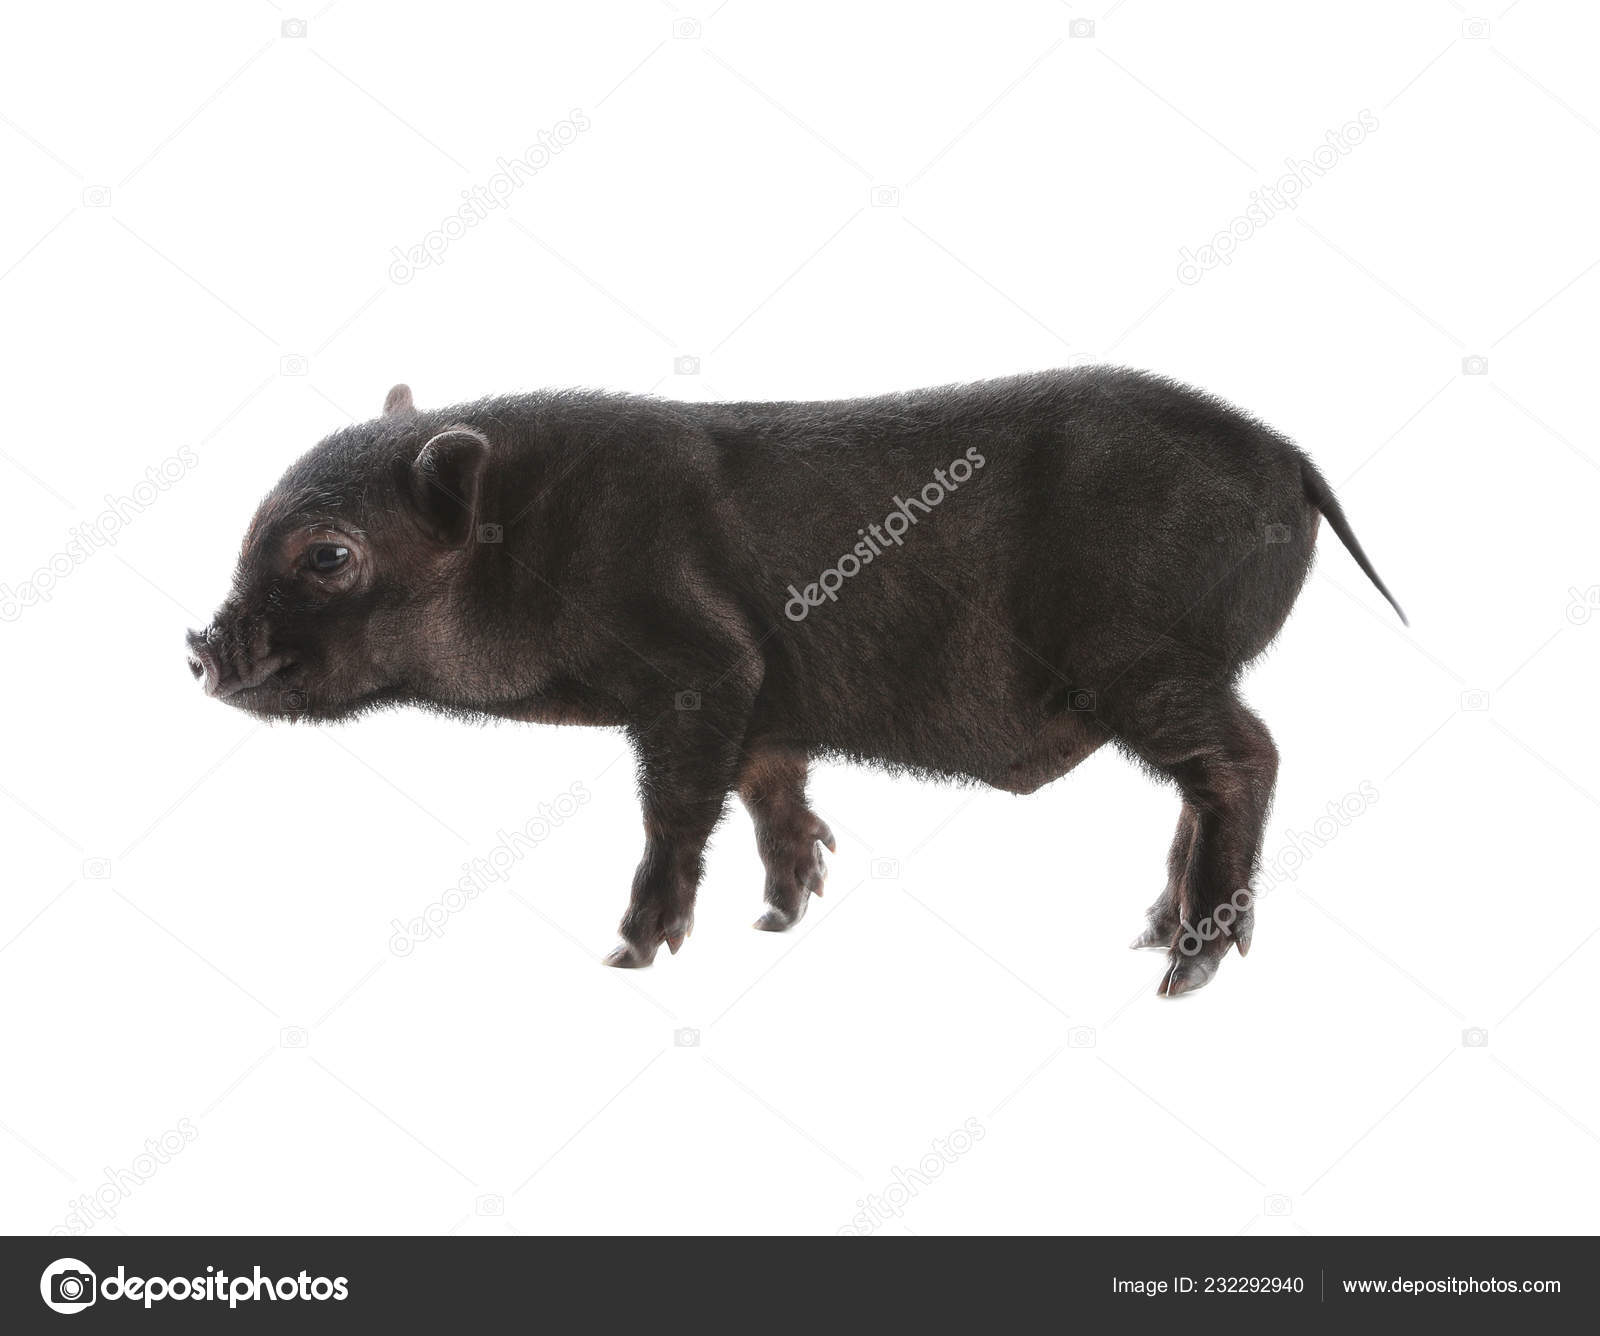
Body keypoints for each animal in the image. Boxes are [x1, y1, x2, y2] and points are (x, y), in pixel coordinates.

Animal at [187, 369, 1405, 996]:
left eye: (329, 554)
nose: (197, 647)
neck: (521, 538)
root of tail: (1292, 461)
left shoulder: (704, 667)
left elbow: (677, 809)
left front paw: (627, 957)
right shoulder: (767, 707)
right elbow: (774, 797)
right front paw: (778, 920)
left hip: (1144, 658)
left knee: (1247, 757)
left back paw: (1180, 972)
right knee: (1206, 784)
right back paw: (1150, 938)